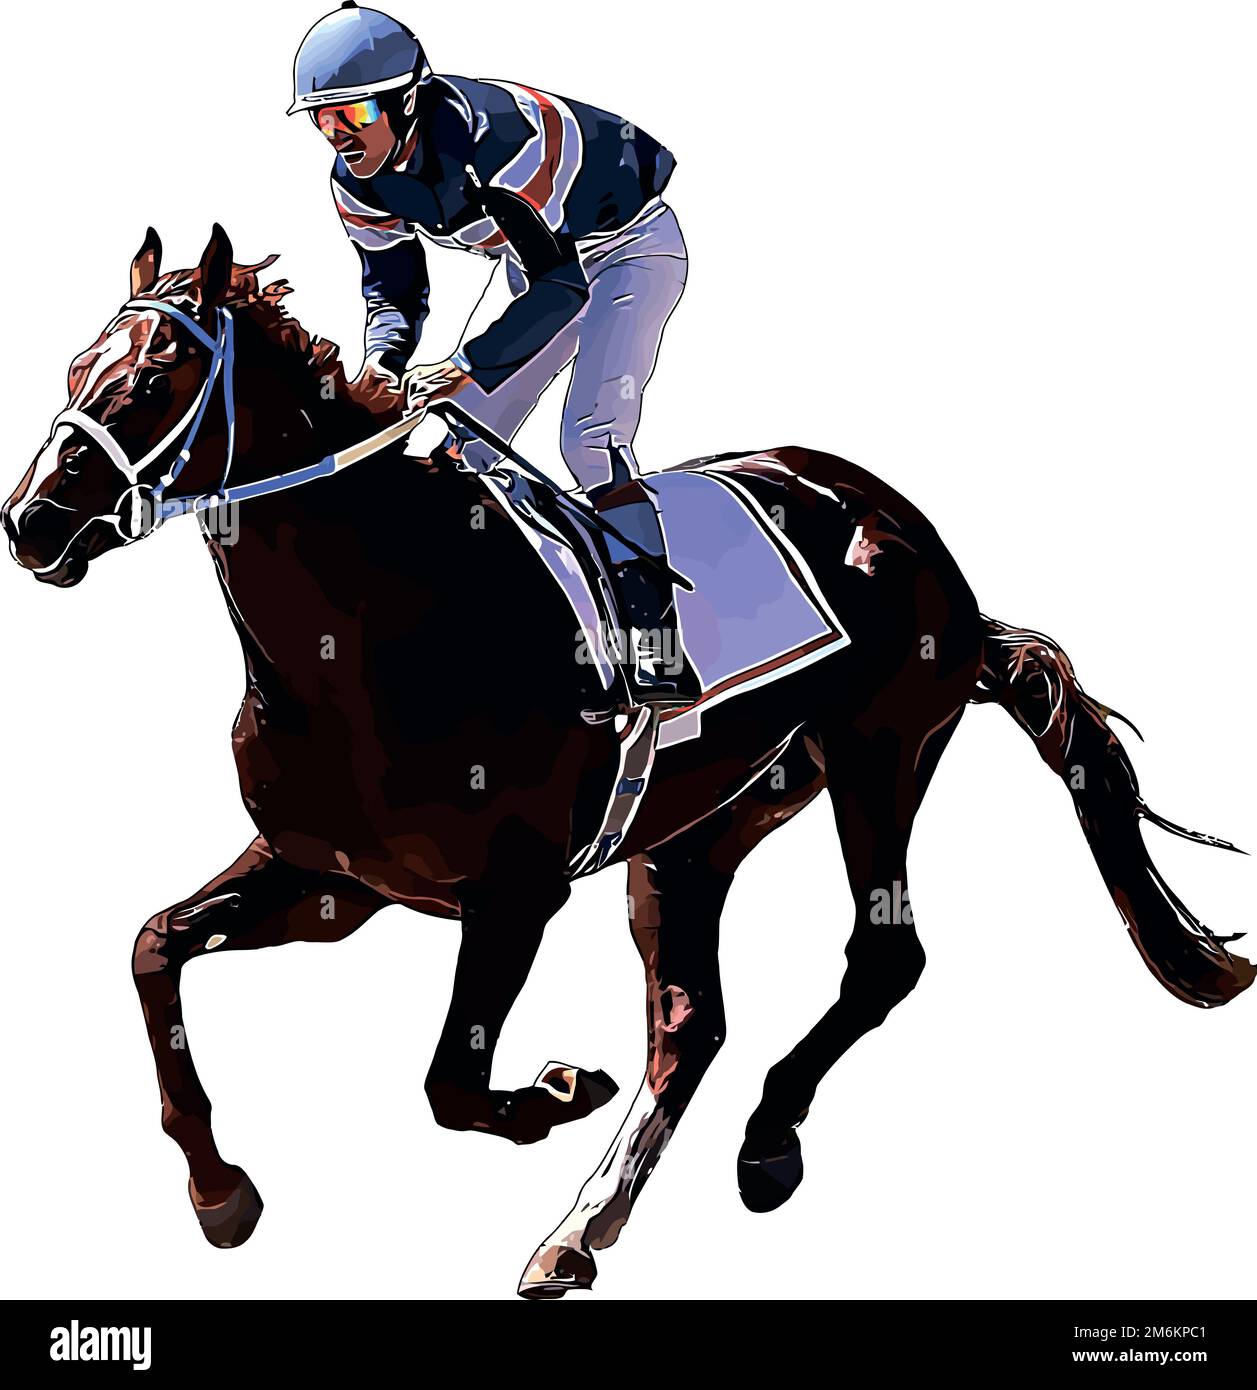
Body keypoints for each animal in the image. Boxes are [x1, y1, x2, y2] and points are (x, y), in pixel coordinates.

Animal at [5, 226, 1251, 1299]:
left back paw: (751, 1144)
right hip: (700, 826)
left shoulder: (513, 892)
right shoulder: (334, 878)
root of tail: (913, 533)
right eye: (73, 364)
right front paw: (220, 1192)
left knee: (880, 959)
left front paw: (555, 1088)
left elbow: (450, 1084)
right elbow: (153, 947)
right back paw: (587, 1226)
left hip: (882, 749)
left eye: (149, 382)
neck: (368, 629)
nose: (30, 525)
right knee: (691, 1018)